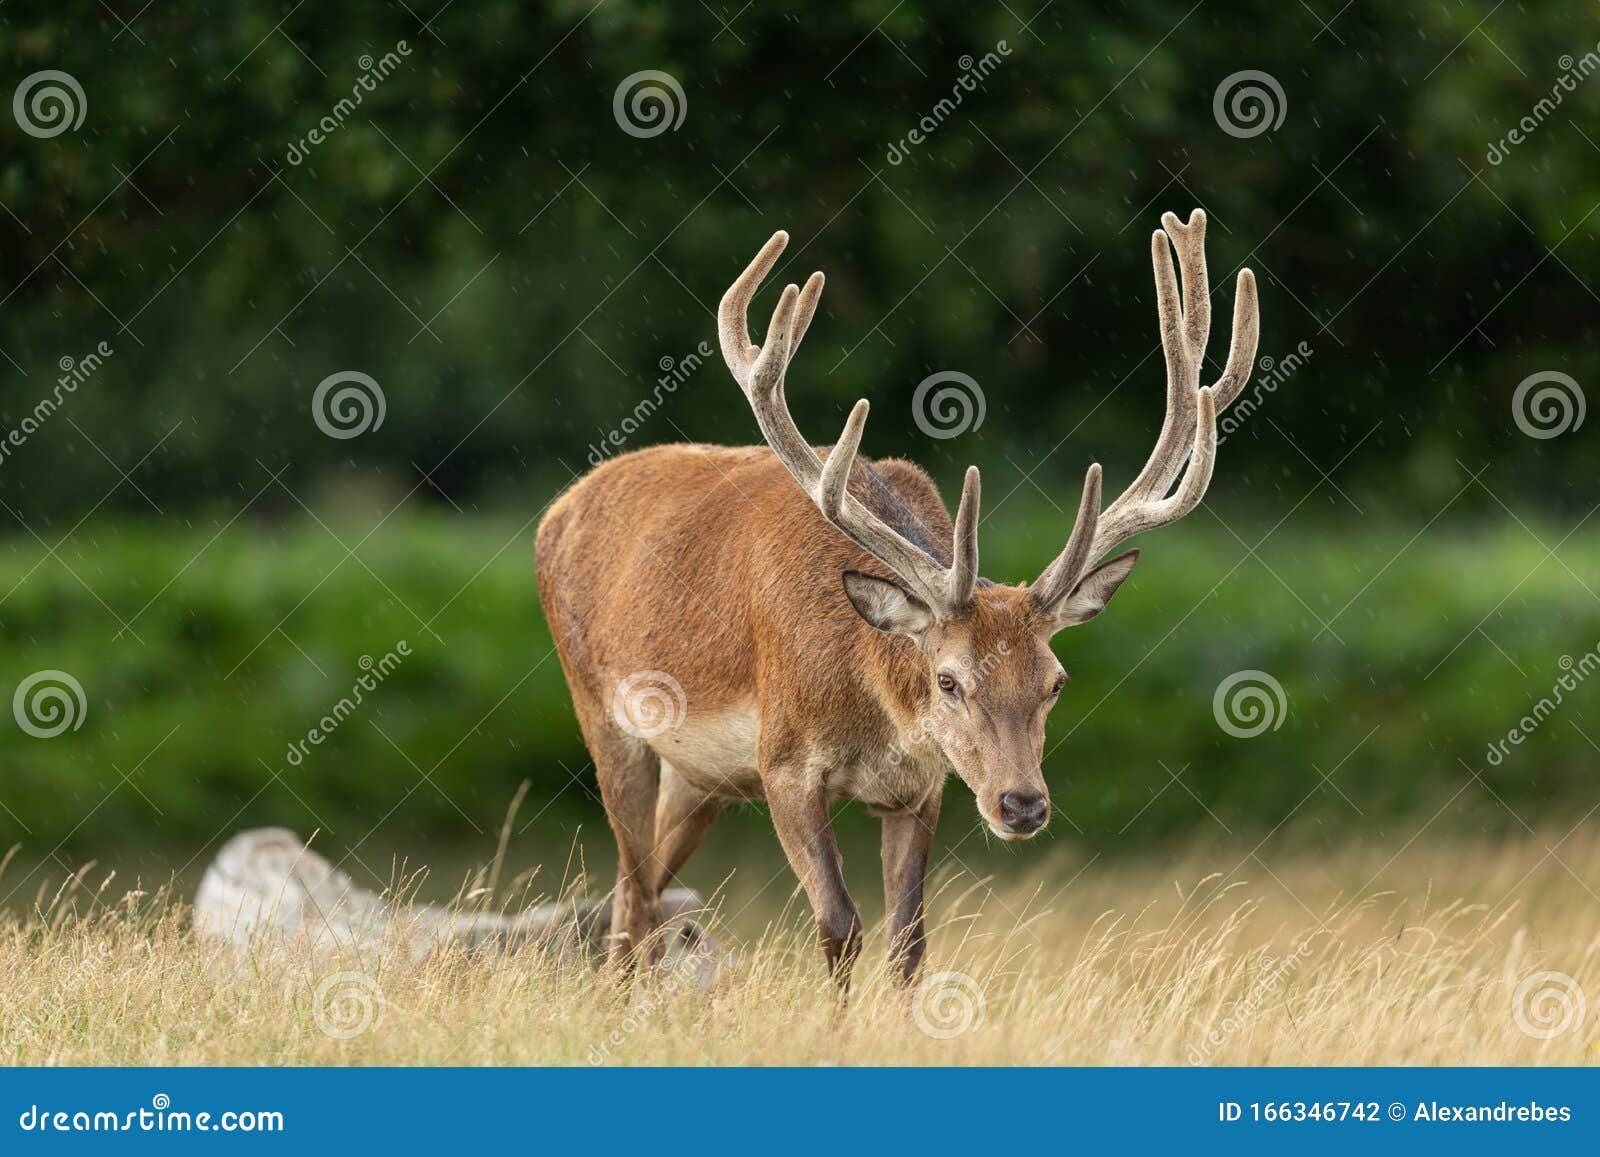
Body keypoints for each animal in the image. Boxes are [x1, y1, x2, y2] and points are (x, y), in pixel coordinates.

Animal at [535, 209, 1259, 987]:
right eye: (948, 680)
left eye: (1057, 681)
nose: (1022, 804)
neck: (873, 703)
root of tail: (557, 510)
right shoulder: (783, 760)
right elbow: (839, 925)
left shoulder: (923, 786)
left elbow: (909, 941)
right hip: (600, 712)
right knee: (634, 894)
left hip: (696, 776)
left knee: (633, 897)